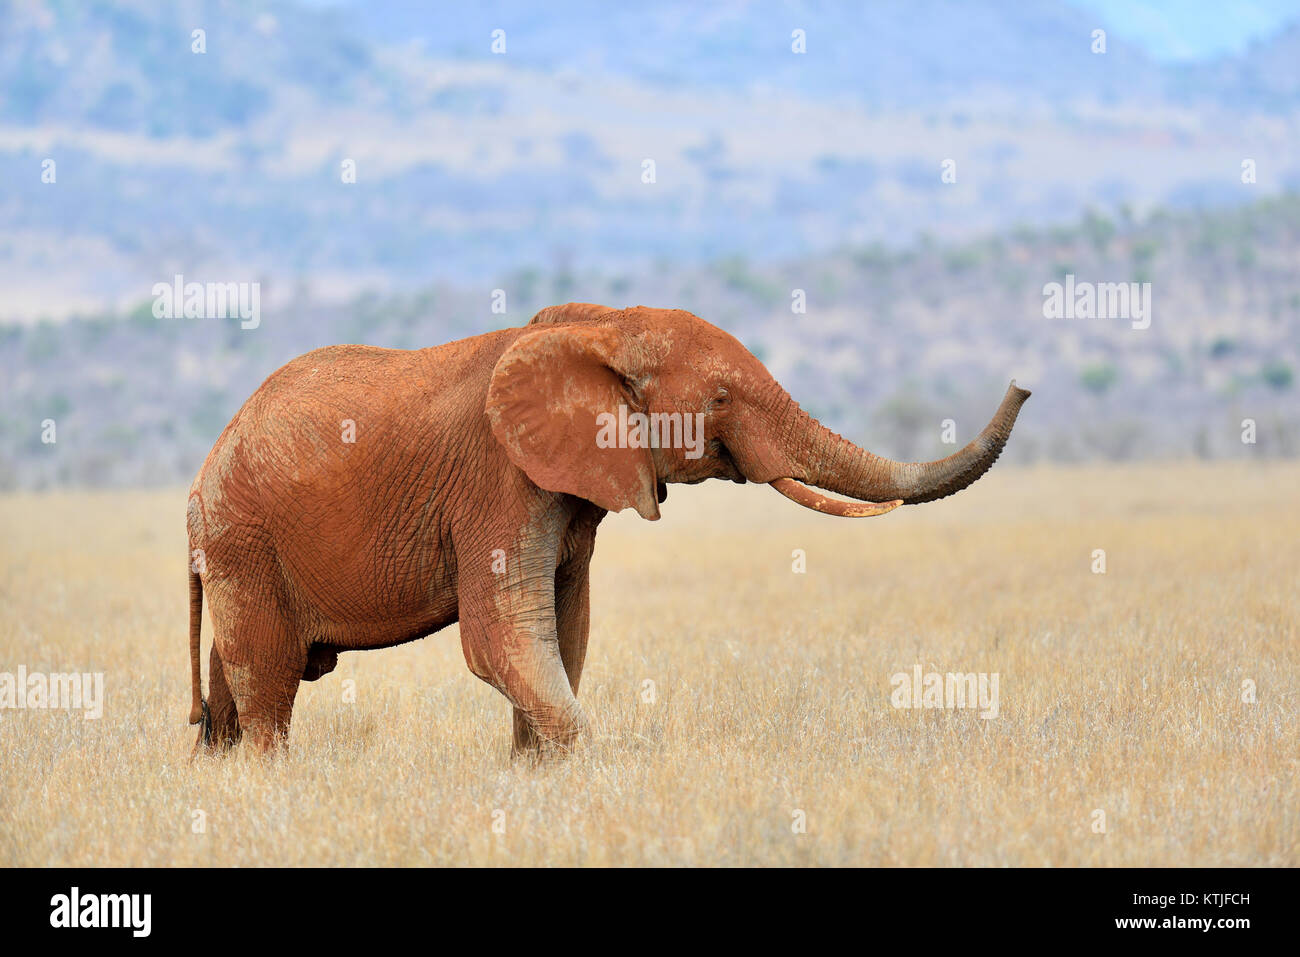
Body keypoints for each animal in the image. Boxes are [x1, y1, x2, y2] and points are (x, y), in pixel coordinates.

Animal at [186, 303, 1029, 756]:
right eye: (720, 399)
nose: (1025, 383)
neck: (603, 324)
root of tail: (198, 481)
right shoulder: (498, 483)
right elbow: (503, 638)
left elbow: (566, 628)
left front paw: (537, 781)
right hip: (244, 538)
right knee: (267, 681)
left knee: (234, 684)